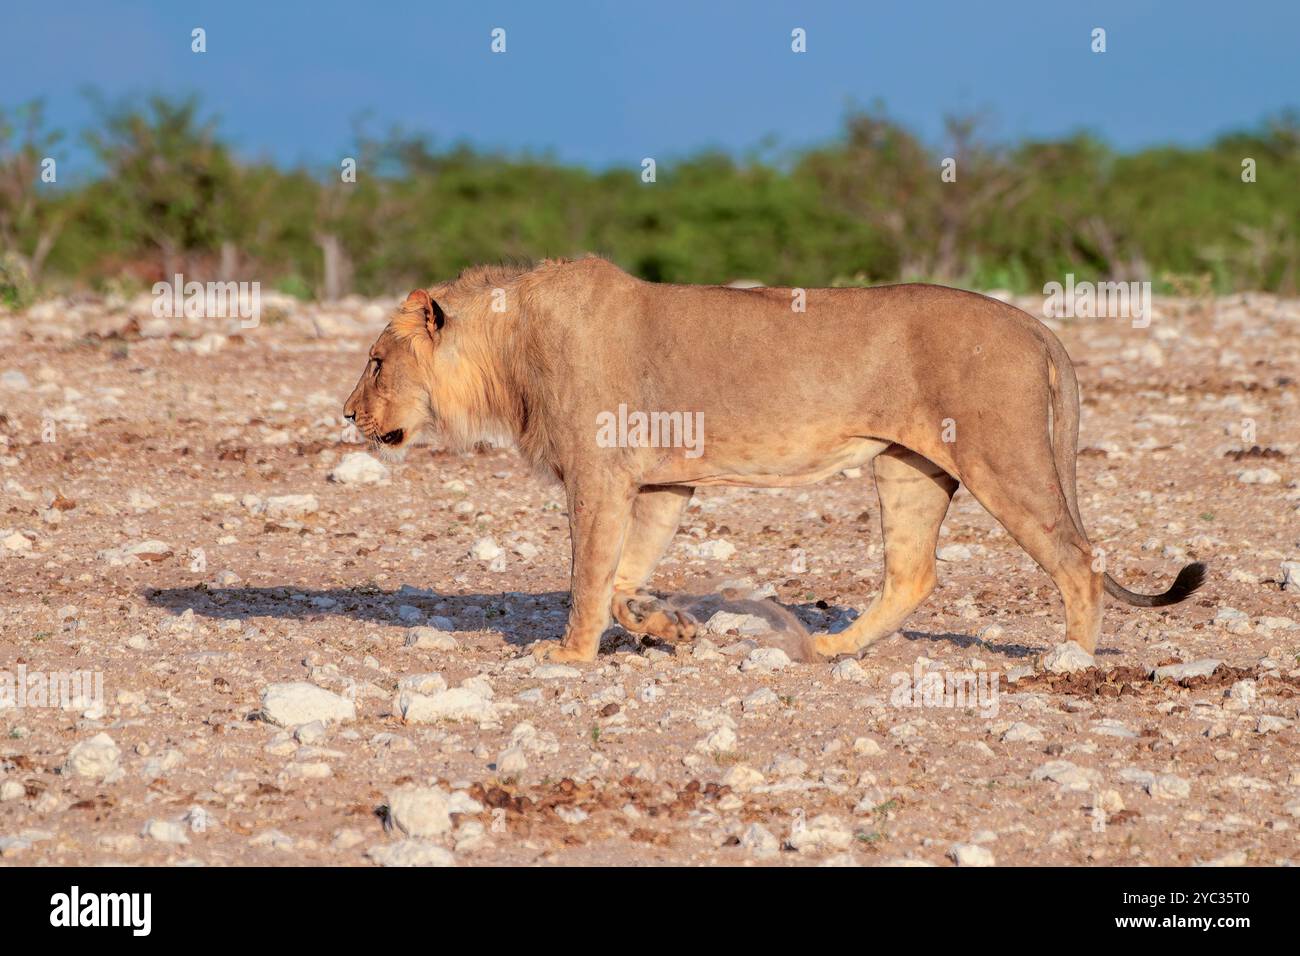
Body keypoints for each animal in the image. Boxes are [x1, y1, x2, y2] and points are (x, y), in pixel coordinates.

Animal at [343, 257, 1205, 663]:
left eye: (377, 361)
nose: (347, 414)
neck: (508, 348)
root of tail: (1034, 323)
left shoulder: (600, 473)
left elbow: (589, 575)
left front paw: (568, 655)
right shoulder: (664, 481)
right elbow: (622, 578)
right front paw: (667, 629)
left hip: (1003, 454)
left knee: (1078, 558)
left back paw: (1071, 659)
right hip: (908, 467)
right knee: (913, 573)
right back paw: (829, 648)